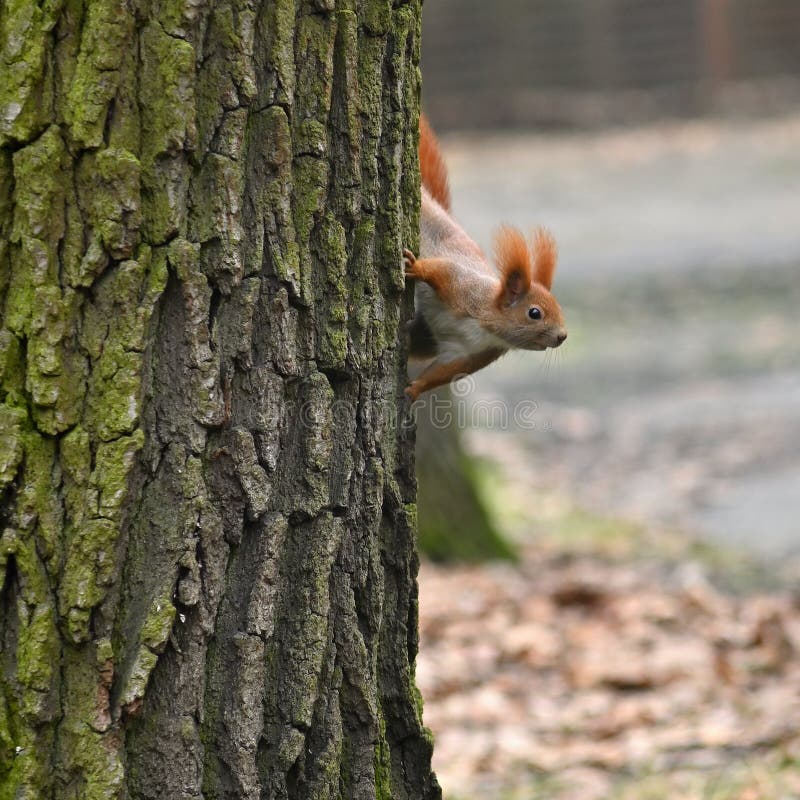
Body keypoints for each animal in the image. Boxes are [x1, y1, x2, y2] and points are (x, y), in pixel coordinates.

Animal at [403, 115, 567, 401]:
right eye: (534, 313)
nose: (563, 336)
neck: (487, 328)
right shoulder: (464, 289)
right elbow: (442, 271)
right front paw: (416, 267)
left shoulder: (469, 354)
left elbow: (444, 372)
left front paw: (414, 390)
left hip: (426, 337)